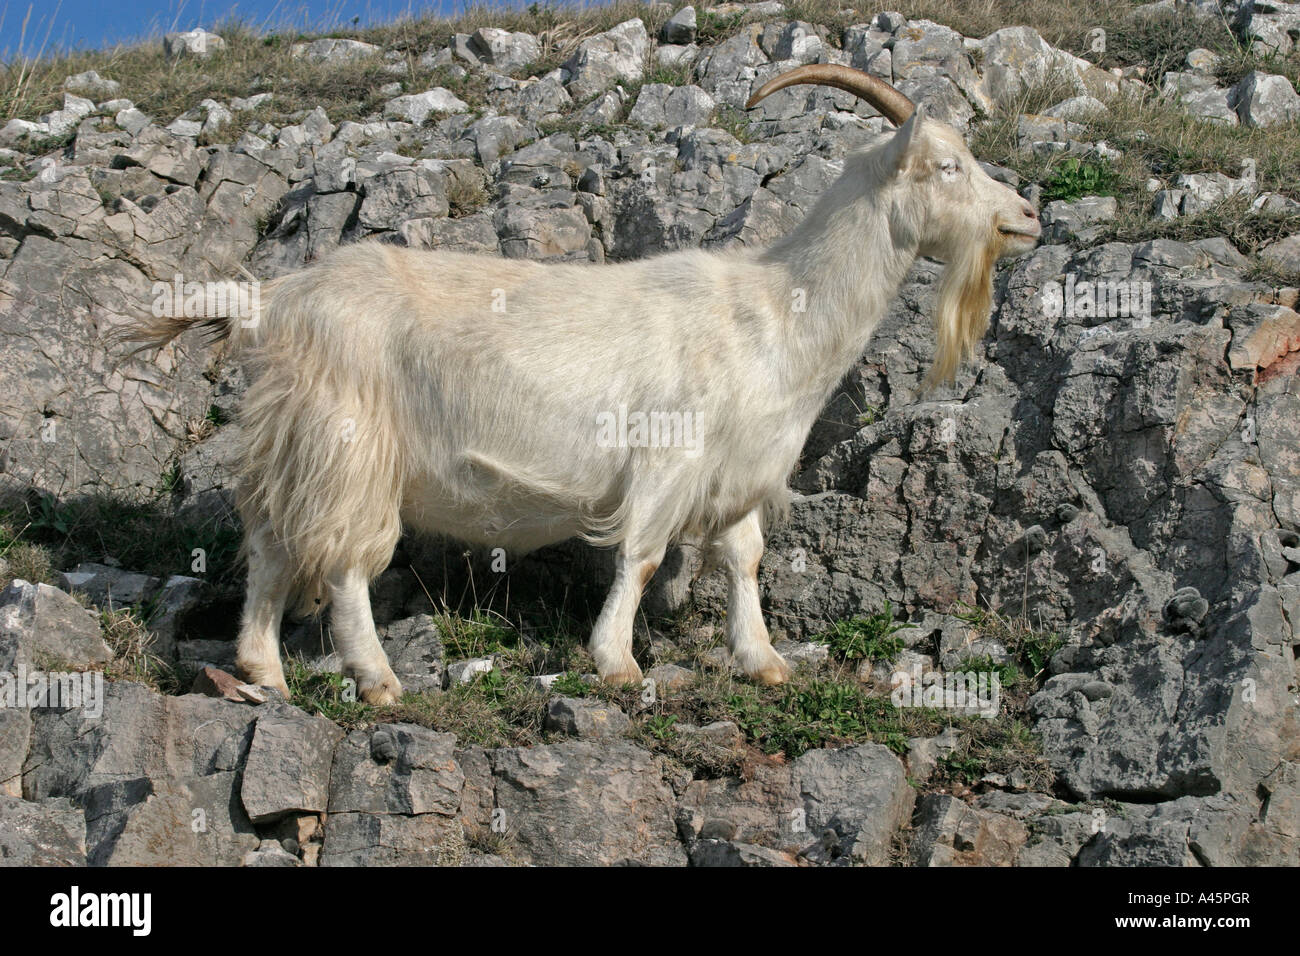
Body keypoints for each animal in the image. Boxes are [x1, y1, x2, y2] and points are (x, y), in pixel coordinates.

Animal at [128, 66, 1040, 703]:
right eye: (948, 166)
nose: (1028, 216)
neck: (774, 310)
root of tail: (274, 299)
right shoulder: (669, 456)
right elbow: (641, 556)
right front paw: (616, 662)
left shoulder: (739, 470)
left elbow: (742, 558)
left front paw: (762, 659)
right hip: (353, 441)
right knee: (346, 561)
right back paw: (379, 681)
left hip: (302, 443)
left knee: (271, 545)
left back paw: (264, 672)